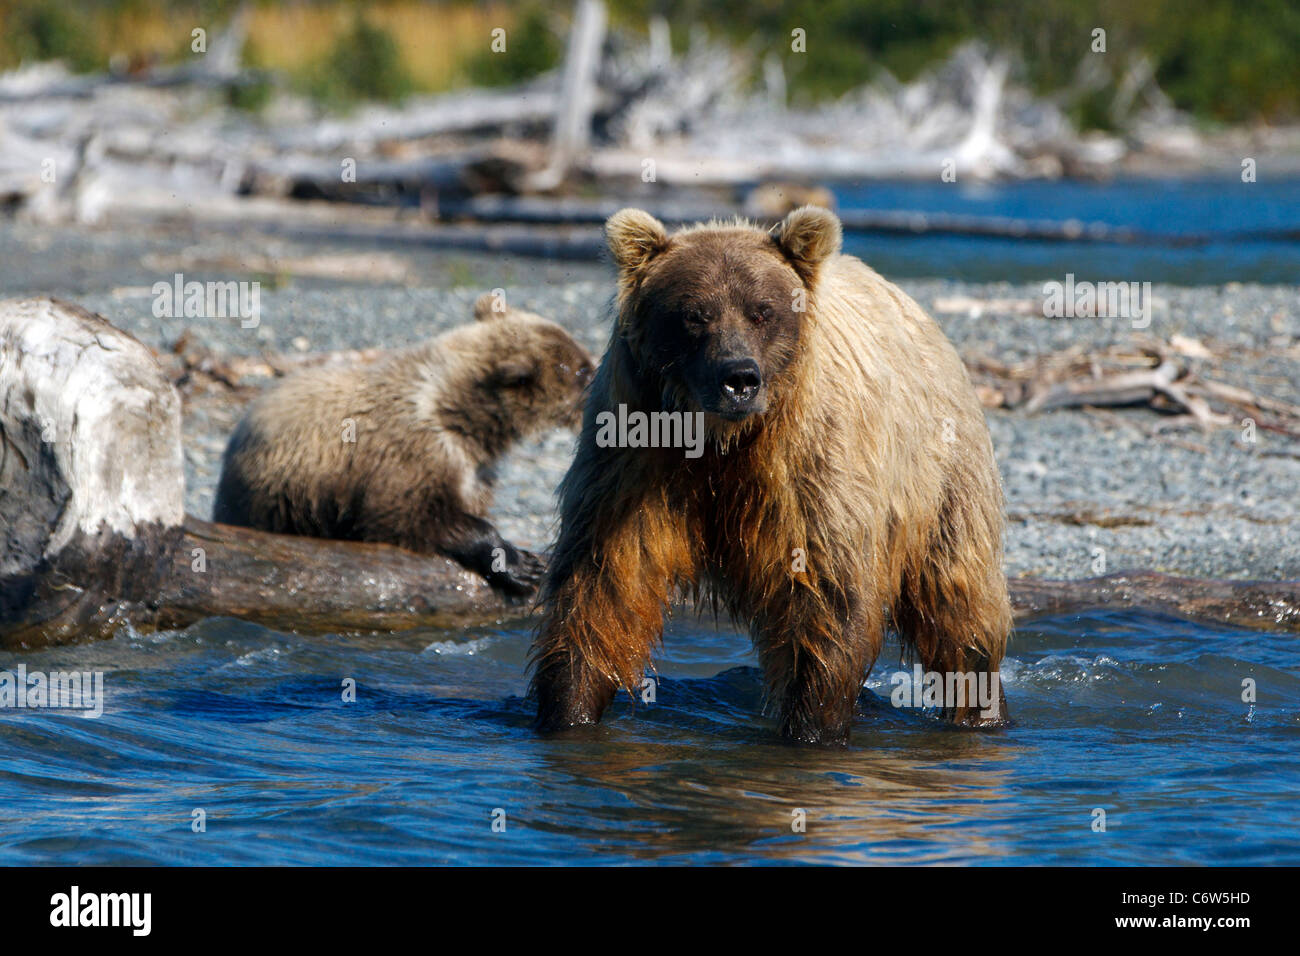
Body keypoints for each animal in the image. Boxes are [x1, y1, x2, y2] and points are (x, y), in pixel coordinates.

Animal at [213, 293, 595, 595]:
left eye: (582, 361)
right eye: (579, 370)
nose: (593, 370)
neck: (462, 418)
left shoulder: (472, 469)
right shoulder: (408, 453)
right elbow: (409, 516)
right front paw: (519, 562)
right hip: (277, 495)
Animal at [528, 206, 1011, 743]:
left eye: (762, 311)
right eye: (695, 314)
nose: (738, 378)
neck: (720, 442)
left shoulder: (809, 469)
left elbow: (826, 595)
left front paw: (811, 730)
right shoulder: (635, 460)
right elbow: (605, 582)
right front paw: (568, 710)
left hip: (941, 479)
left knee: (958, 603)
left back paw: (980, 708)